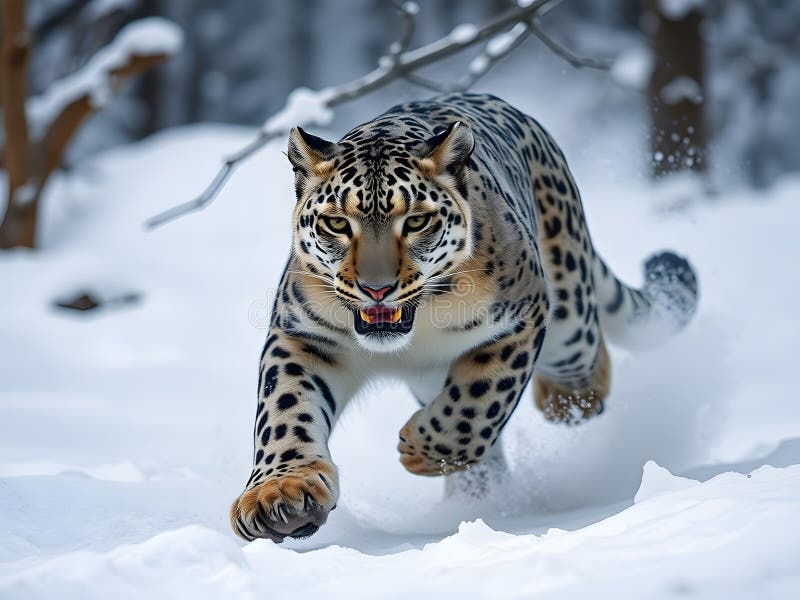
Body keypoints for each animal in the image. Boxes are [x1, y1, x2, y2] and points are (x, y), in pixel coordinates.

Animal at [229, 92, 698, 542]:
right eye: (337, 224)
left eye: (416, 221)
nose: (376, 288)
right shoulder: (302, 336)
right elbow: (284, 412)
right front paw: (281, 496)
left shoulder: (521, 316)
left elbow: (477, 403)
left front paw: (419, 452)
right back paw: (473, 499)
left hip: (568, 317)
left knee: (584, 358)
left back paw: (565, 402)